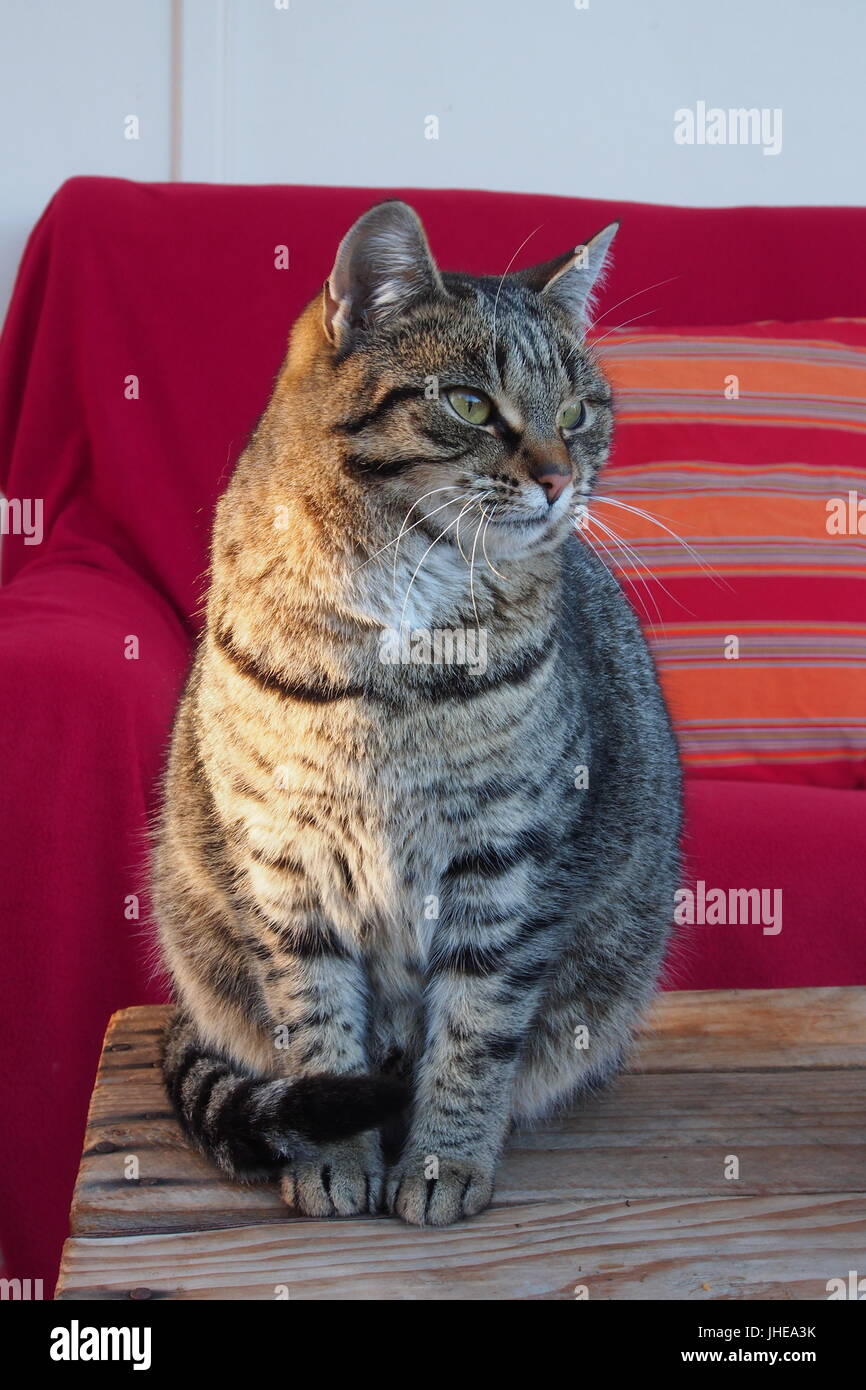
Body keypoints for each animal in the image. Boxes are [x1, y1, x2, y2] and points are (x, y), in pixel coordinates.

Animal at [155, 198, 683, 1228]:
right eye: (471, 404)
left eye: (577, 413)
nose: (558, 478)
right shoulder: (284, 860)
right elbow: (317, 1024)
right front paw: (333, 1159)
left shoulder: (506, 857)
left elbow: (476, 1031)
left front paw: (444, 1161)